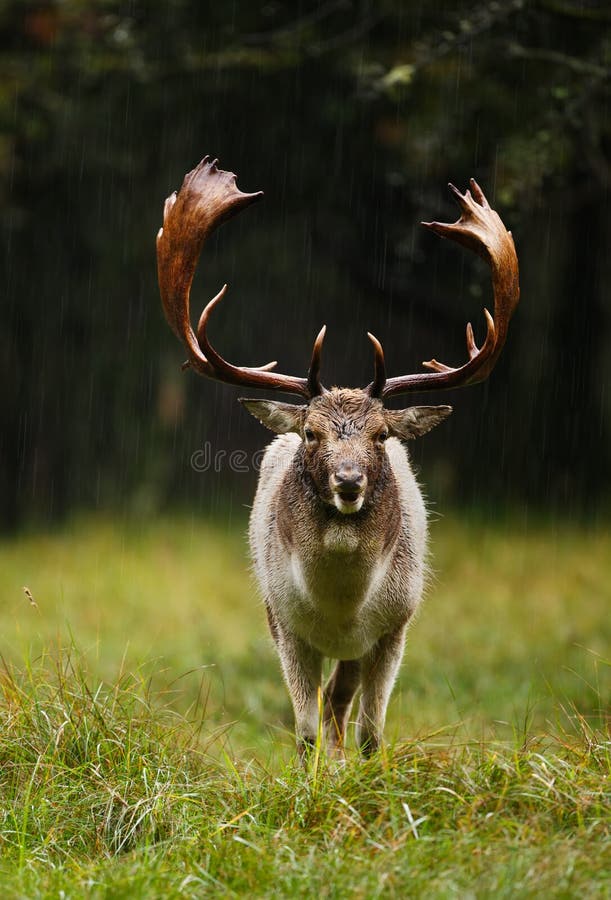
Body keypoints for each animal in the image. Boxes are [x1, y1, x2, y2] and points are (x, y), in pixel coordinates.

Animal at [157, 157, 519, 758]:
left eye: (381, 435)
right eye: (310, 433)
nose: (349, 481)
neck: (341, 610)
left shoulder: (396, 624)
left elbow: (373, 730)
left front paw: (368, 776)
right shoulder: (284, 622)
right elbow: (303, 731)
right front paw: (311, 777)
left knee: (341, 702)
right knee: (328, 704)